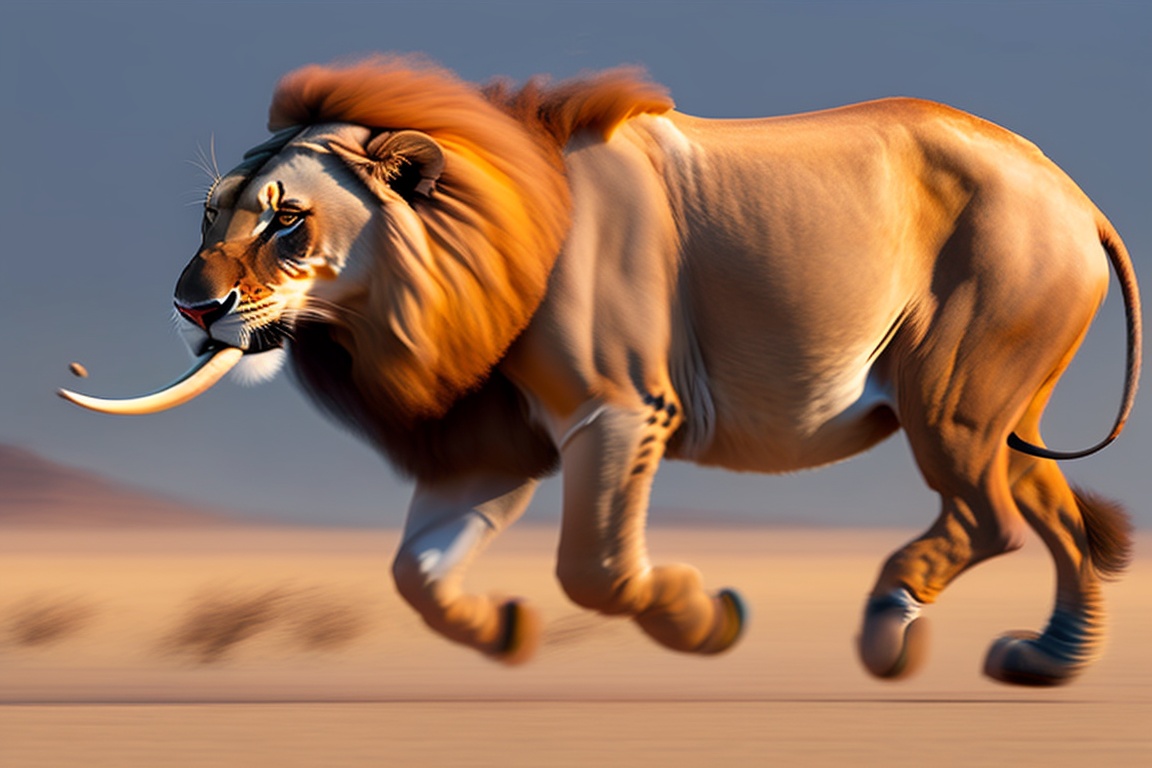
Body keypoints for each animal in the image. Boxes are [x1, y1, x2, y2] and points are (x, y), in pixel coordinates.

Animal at [60, 56, 1140, 686]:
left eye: (287, 220)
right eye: (213, 213)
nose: (191, 306)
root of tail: (1070, 188)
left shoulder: (620, 410)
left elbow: (598, 566)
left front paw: (707, 619)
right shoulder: (489, 441)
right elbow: (416, 572)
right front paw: (503, 630)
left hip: (951, 396)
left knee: (991, 519)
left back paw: (887, 621)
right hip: (991, 411)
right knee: (1053, 513)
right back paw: (1045, 661)